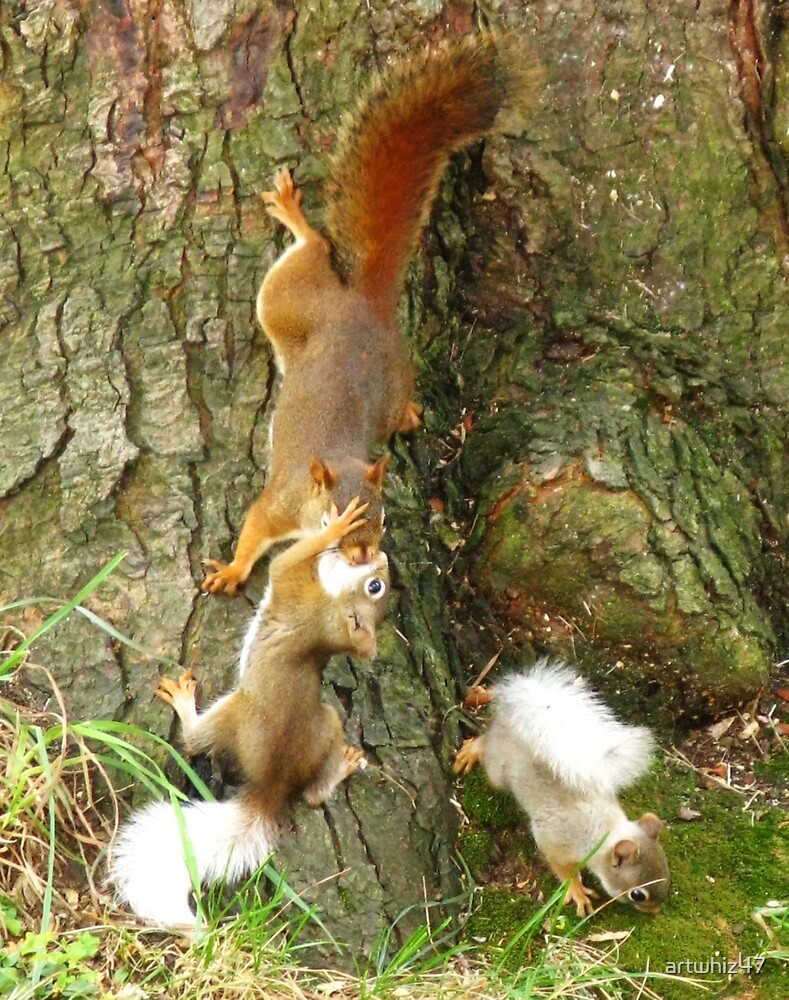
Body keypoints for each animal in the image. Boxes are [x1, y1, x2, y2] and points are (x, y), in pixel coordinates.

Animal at [109, 498, 389, 927]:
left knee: (195, 739)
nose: (383, 557)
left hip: (234, 712)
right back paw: (342, 767)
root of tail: (272, 784)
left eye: (375, 587)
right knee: (312, 795)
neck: (330, 617)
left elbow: (288, 558)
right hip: (329, 720)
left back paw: (184, 702)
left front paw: (333, 526)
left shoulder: (292, 580)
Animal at [202, 35, 541, 595]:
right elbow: (253, 532)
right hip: (287, 302)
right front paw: (232, 570)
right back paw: (296, 217)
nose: (363, 556)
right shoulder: (278, 507)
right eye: (334, 518)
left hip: (378, 369)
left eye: (383, 518)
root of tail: (363, 304)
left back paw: (407, 413)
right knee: (314, 248)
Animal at [453, 661, 670, 917]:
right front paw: (576, 890)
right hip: (497, 768)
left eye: (666, 872)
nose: (655, 910)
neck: (603, 831)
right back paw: (474, 750)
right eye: (637, 894)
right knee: (487, 746)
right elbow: (561, 868)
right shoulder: (556, 842)